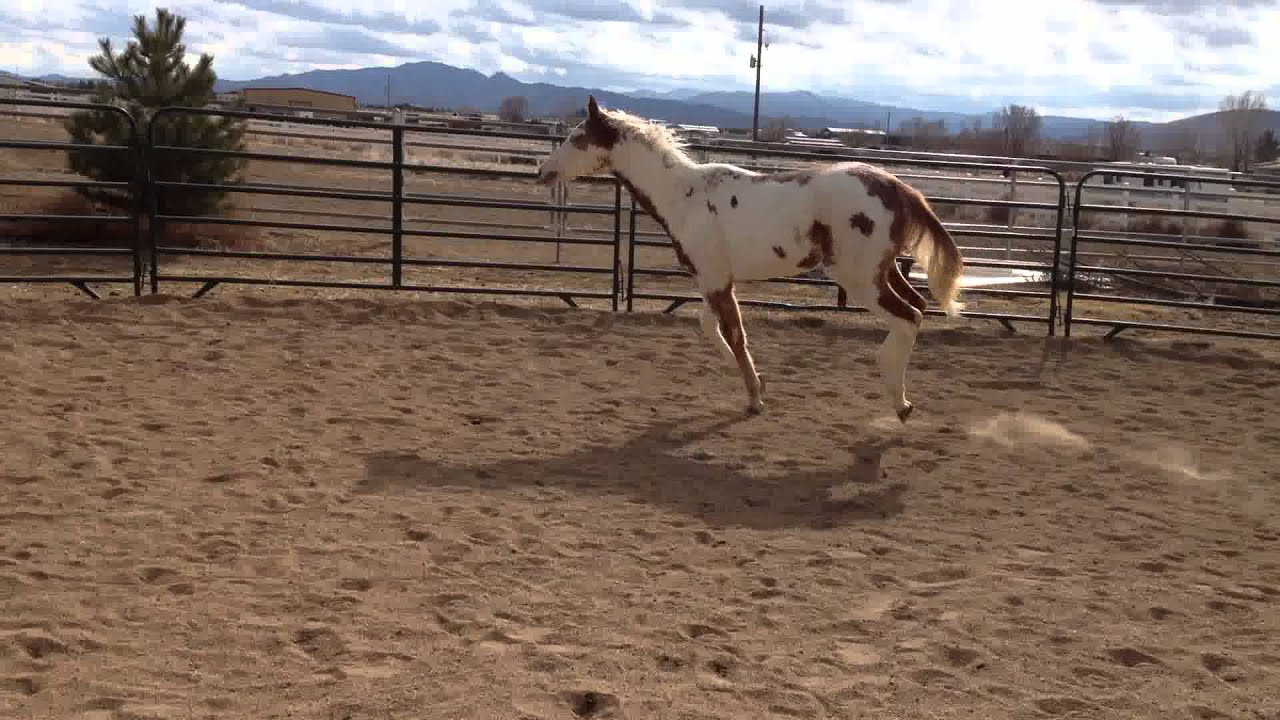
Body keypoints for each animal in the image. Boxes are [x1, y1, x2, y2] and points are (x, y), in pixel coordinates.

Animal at [536, 96, 965, 422]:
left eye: (578, 137)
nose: (542, 171)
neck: (684, 196)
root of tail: (898, 187)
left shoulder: (714, 279)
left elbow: (735, 335)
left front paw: (755, 398)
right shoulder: (716, 279)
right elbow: (710, 326)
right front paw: (756, 381)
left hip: (859, 278)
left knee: (909, 317)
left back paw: (898, 399)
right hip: (884, 270)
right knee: (918, 306)